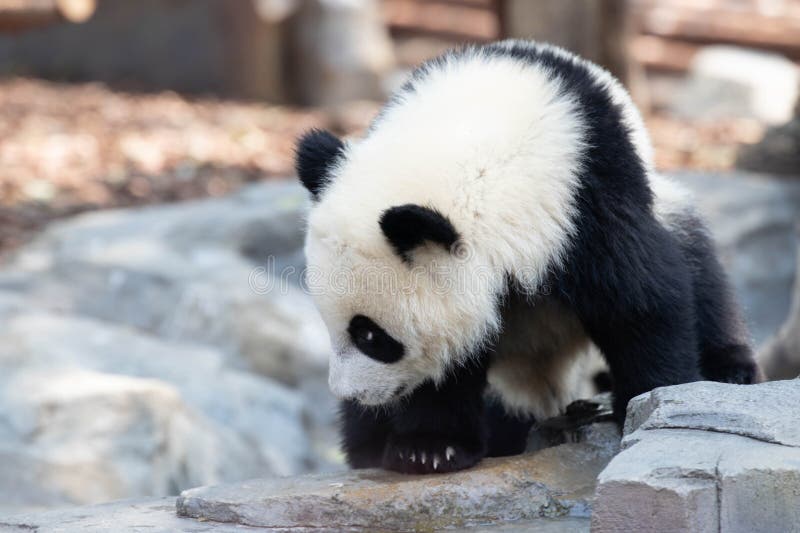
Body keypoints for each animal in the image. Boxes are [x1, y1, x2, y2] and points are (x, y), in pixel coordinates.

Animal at [295, 40, 760, 475]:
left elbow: (641, 301)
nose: (351, 394)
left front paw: (649, 407)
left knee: (700, 267)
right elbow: (452, 357)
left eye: (371, 337)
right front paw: (429, 447)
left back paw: (730, 370)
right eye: (329, 324)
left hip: (666, 205)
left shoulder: (585, 201)